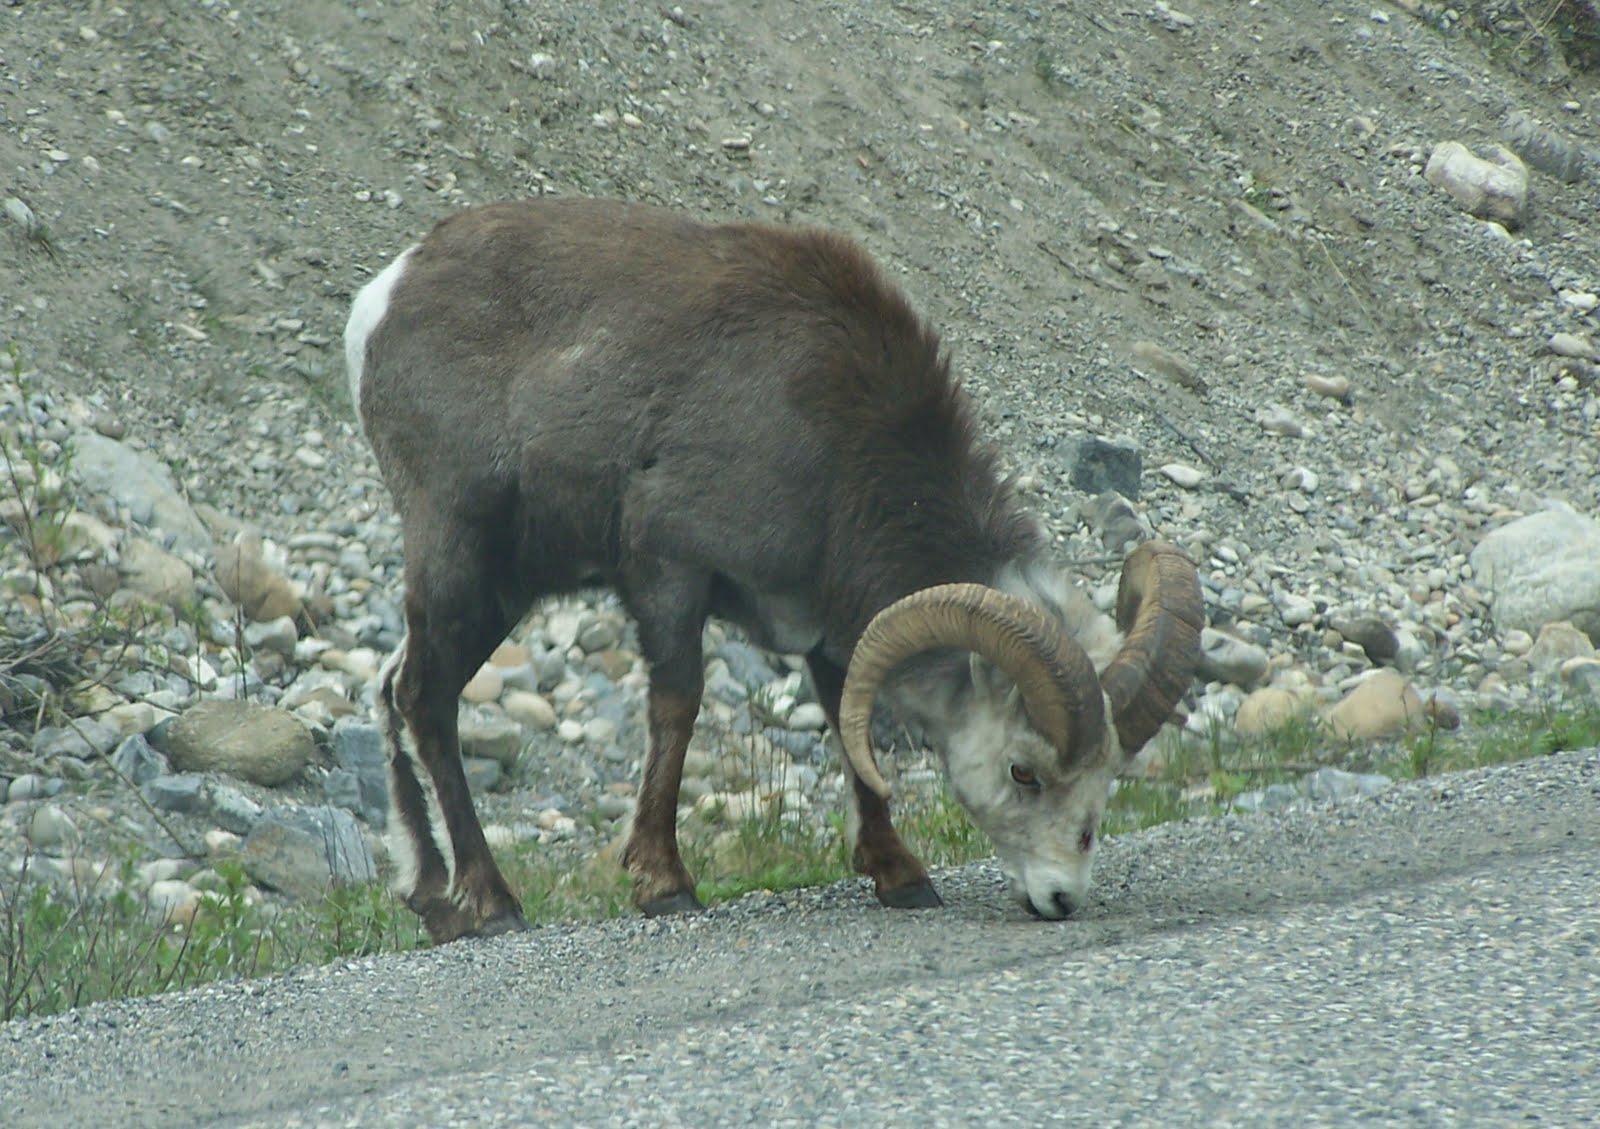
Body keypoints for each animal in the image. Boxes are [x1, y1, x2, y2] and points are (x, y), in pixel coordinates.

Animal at [344, 197, 1203, 943]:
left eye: (1110, 775)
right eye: (1024, 772)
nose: (1060, 898)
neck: (833, 445)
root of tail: (384, 296)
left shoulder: (825, 625)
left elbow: (851, 729)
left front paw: (902, 876)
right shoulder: (669, 573)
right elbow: (678, 710)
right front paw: (665, 885)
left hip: (501, 590)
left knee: (396, 690)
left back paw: (436, 906)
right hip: (459, 557)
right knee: (424, 698)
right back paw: (492, 904)